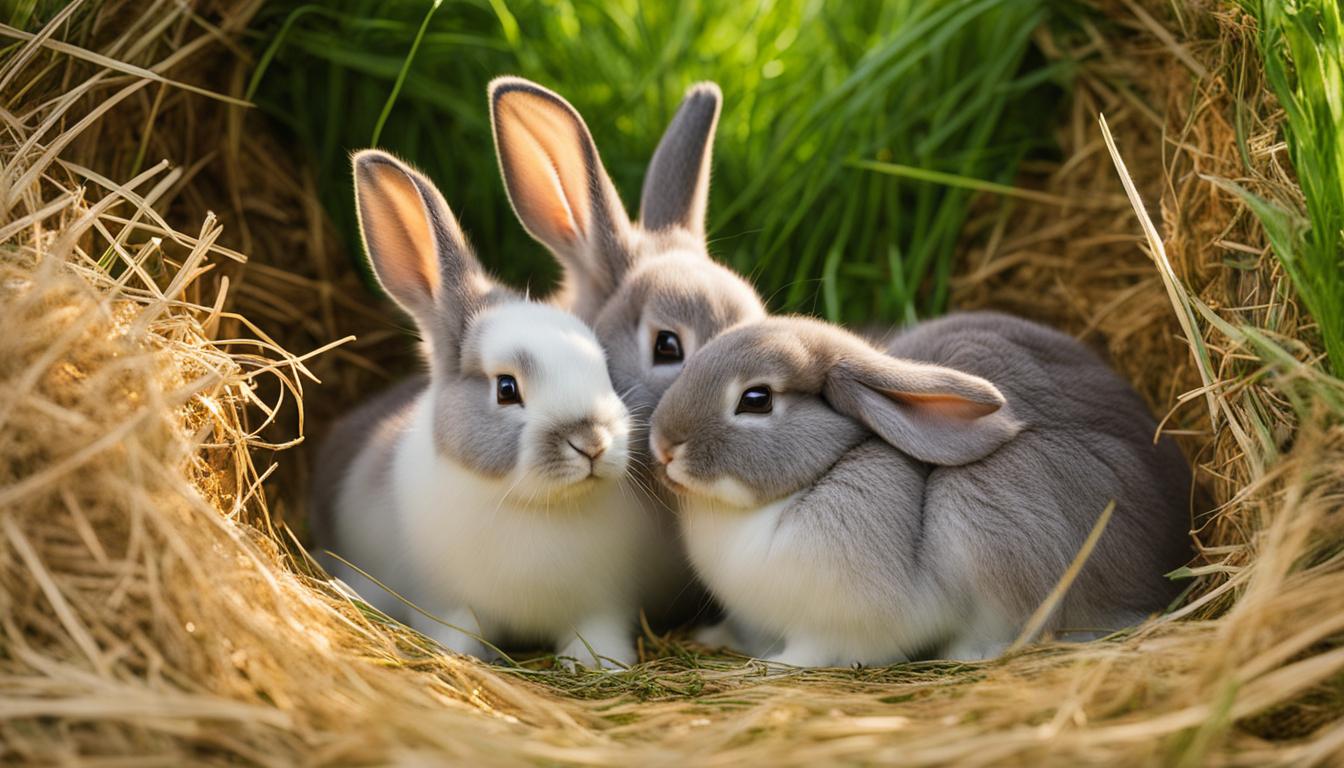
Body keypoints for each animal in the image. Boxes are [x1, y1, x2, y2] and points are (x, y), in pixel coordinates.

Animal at [311, 150, 675, 669]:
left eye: (603, 366)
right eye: (506, 388)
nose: (591, 442)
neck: (534, 506)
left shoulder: (603, 606)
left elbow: (597, 635)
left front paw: (599, 664)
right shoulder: (446, 602)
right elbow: (457, 630)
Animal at [647, 311, 1193, 666]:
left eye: (756, 399)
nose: (664, 445)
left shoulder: (833, 627)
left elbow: (811, 653)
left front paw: (772, 669)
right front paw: (715, 637)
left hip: (979, 508)